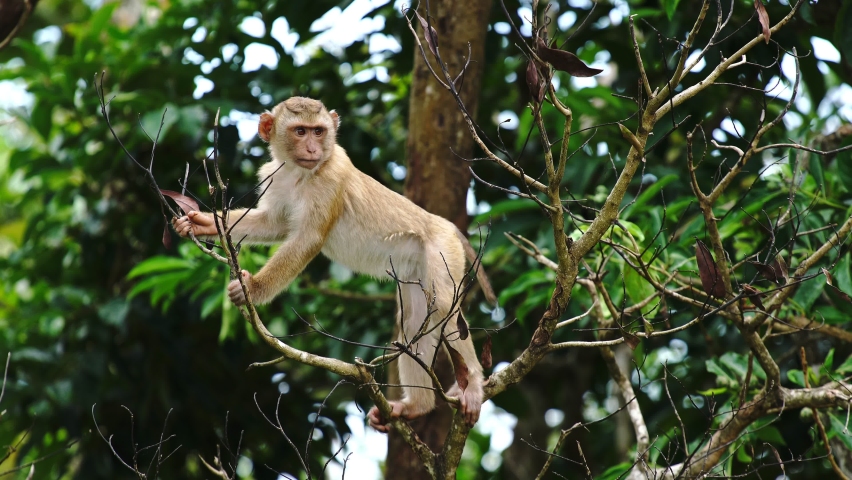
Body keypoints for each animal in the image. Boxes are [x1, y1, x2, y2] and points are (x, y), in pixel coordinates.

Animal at [173, 97, 495, 431]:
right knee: (416, 320)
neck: (298, 173)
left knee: (444, 307)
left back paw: (471, 388)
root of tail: (443, 223)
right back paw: (416, 406)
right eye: (300, 131)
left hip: (442, 249)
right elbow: (274, 224)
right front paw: (201, 223)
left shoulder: (331, 175)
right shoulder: (274, 177)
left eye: (319, 131)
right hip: (416, 267)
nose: (313, 149)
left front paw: (254, 287)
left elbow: (308, 239)